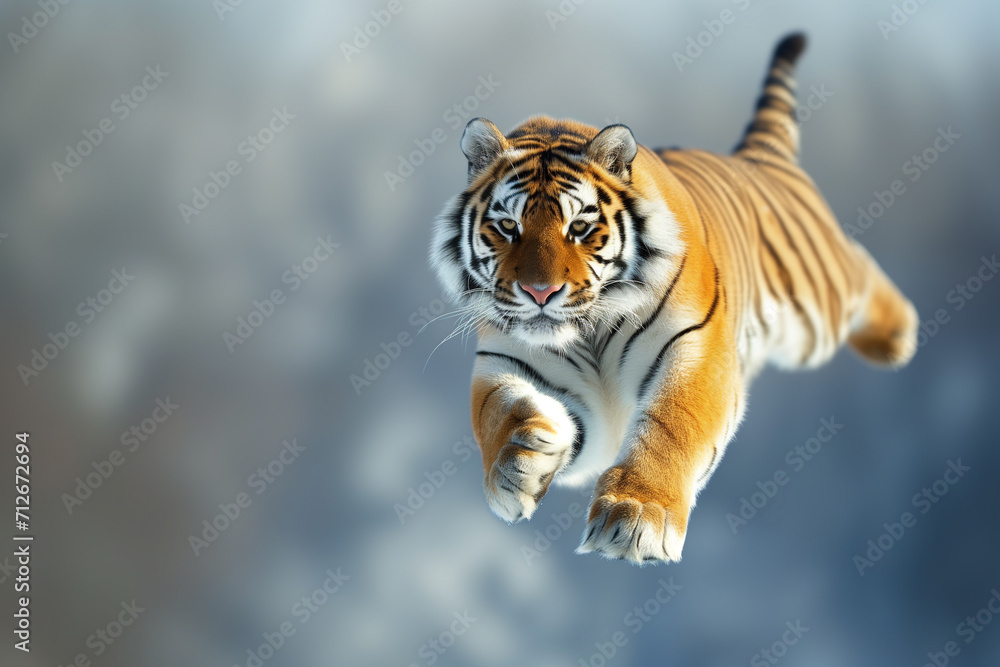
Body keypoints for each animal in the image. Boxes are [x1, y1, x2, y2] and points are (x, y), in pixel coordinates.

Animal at [429, 33, 917, 564]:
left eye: (579, 227)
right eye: (506, 227)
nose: (541, 292)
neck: (587, 332)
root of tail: (755, 157)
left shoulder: (696, 347)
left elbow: (673, 424)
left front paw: (635, 518)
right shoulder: (505, 361)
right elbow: (497, 408)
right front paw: (519, 462)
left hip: (817, 310)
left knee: (860, 264)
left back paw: (898, 337)